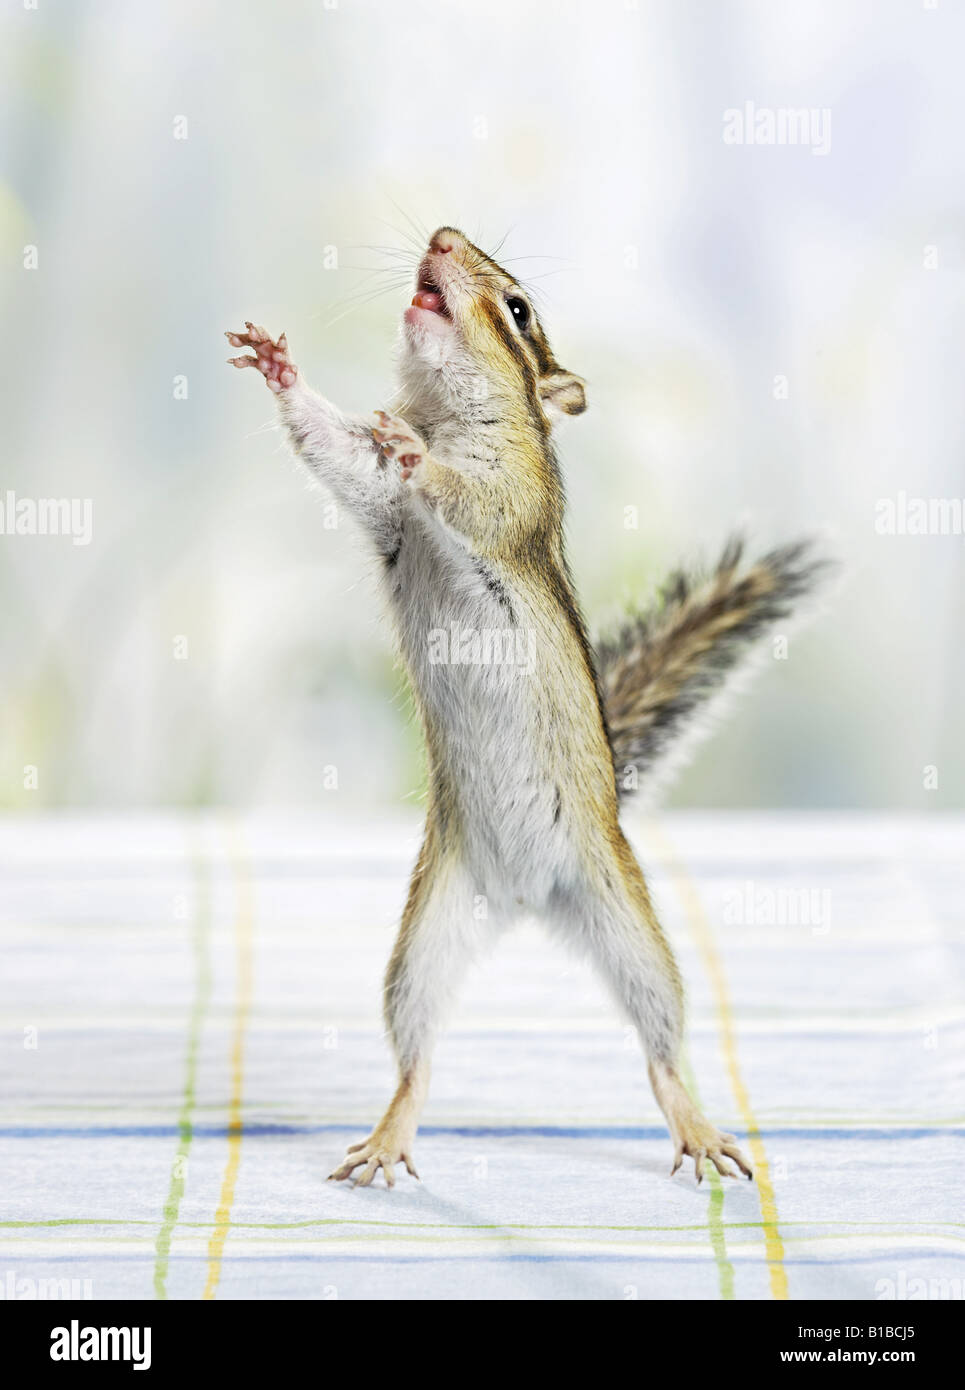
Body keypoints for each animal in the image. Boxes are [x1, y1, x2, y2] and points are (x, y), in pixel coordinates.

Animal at [227, 225, 823, 1188]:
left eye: (517, 309)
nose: (441, 235)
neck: (444, 412)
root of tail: (521, 897)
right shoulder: (378, 502)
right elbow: (337, 452)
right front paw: (282, 368)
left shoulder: (515, 494)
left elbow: (470, 497)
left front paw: (416, 450)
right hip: (422, 940)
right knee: (417, 1056)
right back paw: (389, 1135)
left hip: (628, 924)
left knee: (660, 1044)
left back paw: (694, 1127)